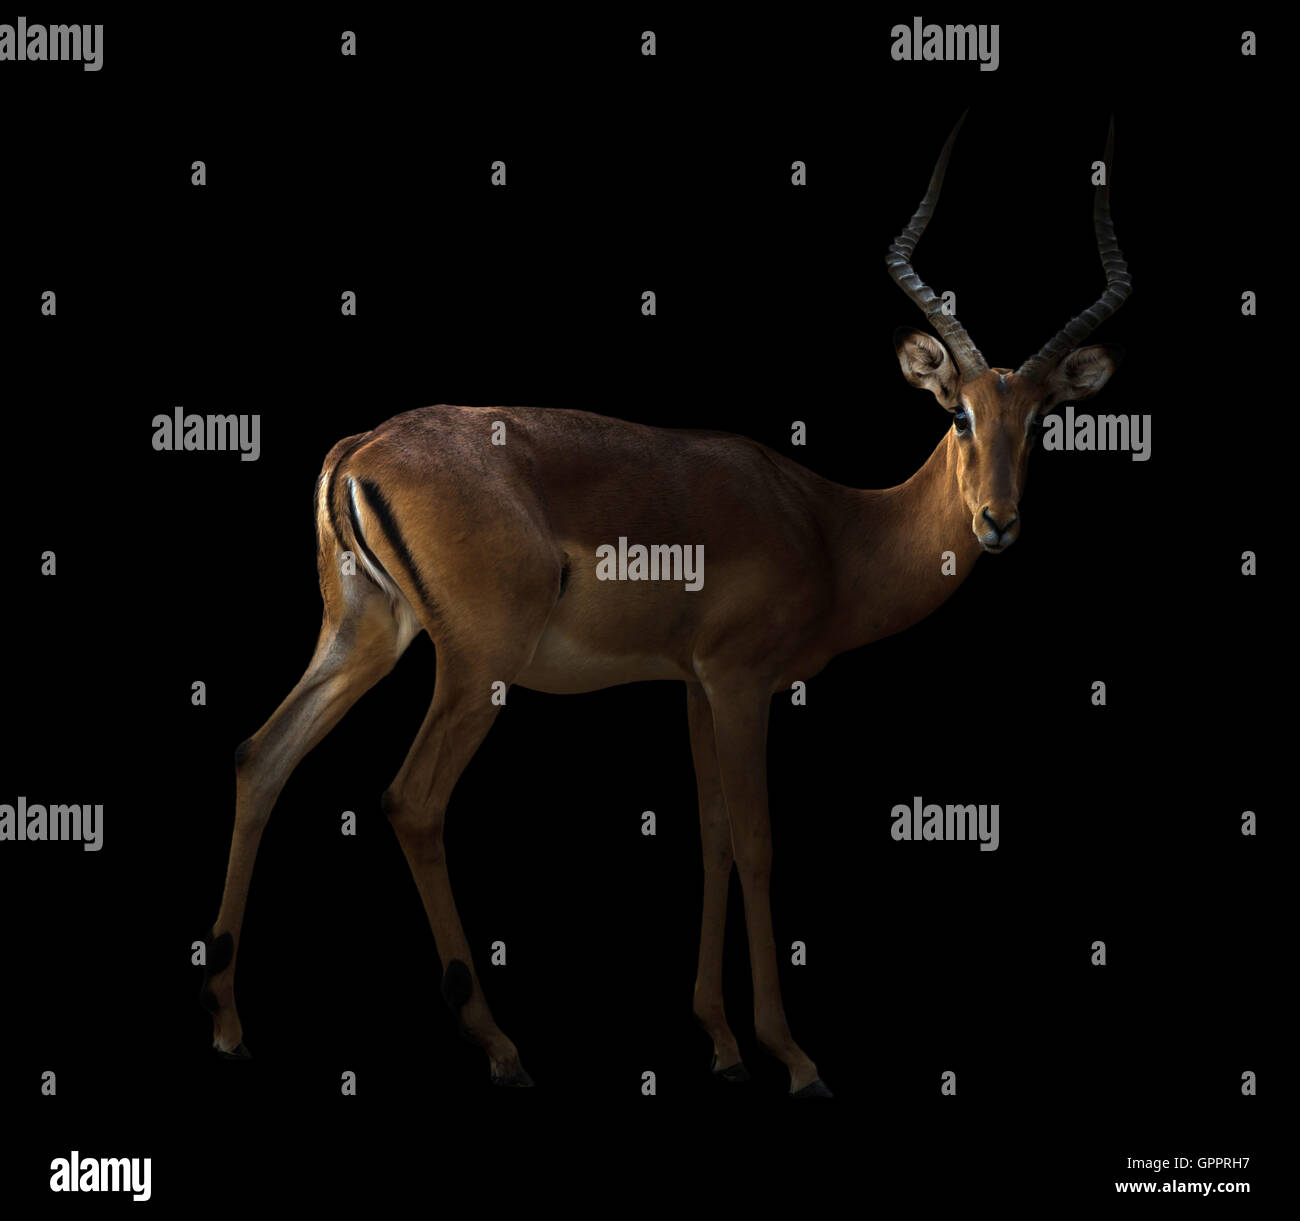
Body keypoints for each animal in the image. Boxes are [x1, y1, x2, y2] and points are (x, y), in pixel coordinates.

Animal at [200, 114, 1130, 1096]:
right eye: (958, 414)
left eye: (1040, 420)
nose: (998, 521)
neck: (831, 527)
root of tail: (361, 447)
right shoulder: (741, 680)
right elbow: (757, 839)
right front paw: (793, 1055)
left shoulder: (691, 684)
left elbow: (711, 833)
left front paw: (719, 1041)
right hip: (476, 665)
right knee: (411, 799)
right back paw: (500, 1045)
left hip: (366, 635)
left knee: (262, 753)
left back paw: (228, 1023)